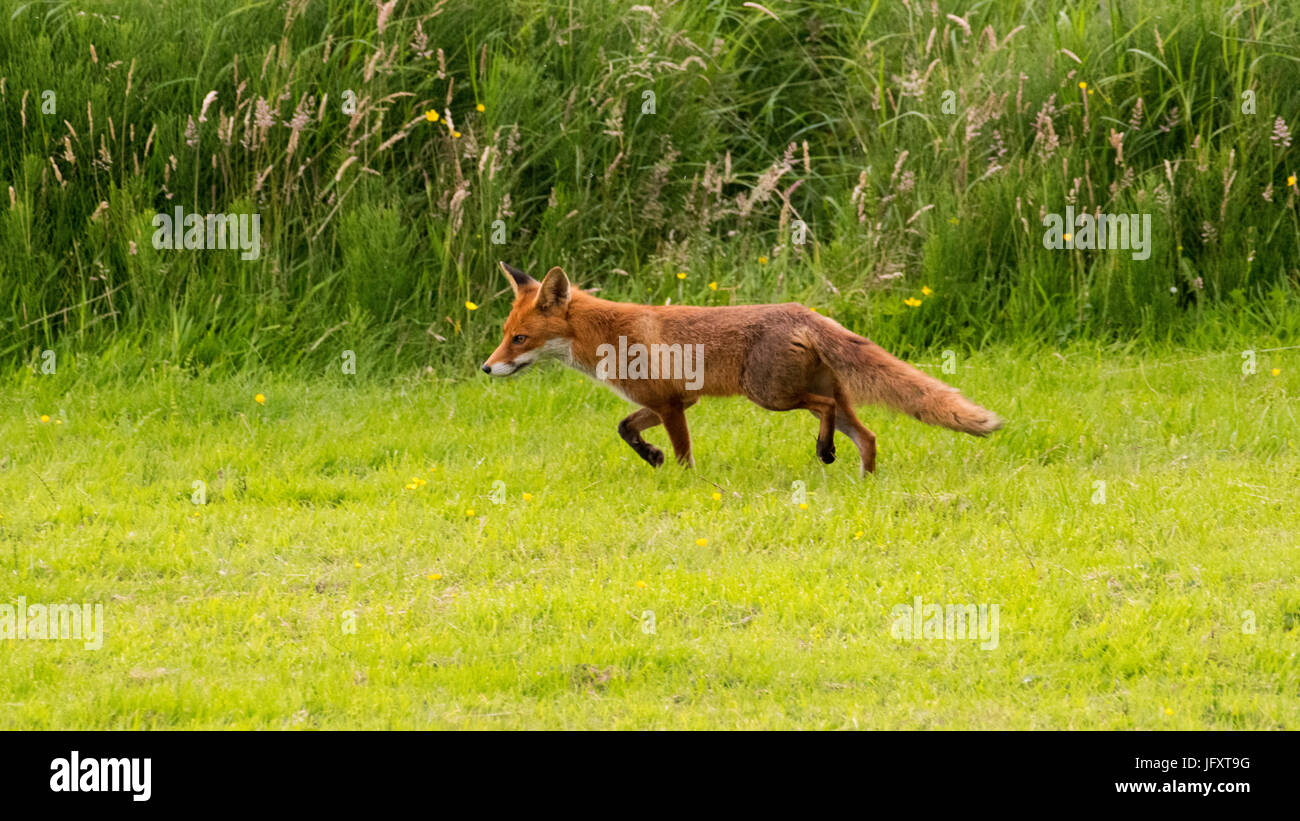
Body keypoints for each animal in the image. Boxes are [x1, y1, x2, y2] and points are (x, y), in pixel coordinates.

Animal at [481, 262, 1002, 474]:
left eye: (519, 339)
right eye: (505, 333)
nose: (486, 369)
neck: (606, 334)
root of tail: (805, 312)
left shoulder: (672, 404)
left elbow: (683, 454)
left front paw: (680, 479)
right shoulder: (668, 399)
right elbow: (625, 428)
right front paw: (652, 457)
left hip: (770, 396)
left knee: (825, 408)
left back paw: (825, 451)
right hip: (806, 396)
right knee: (868, 436)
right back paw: (863, 481)